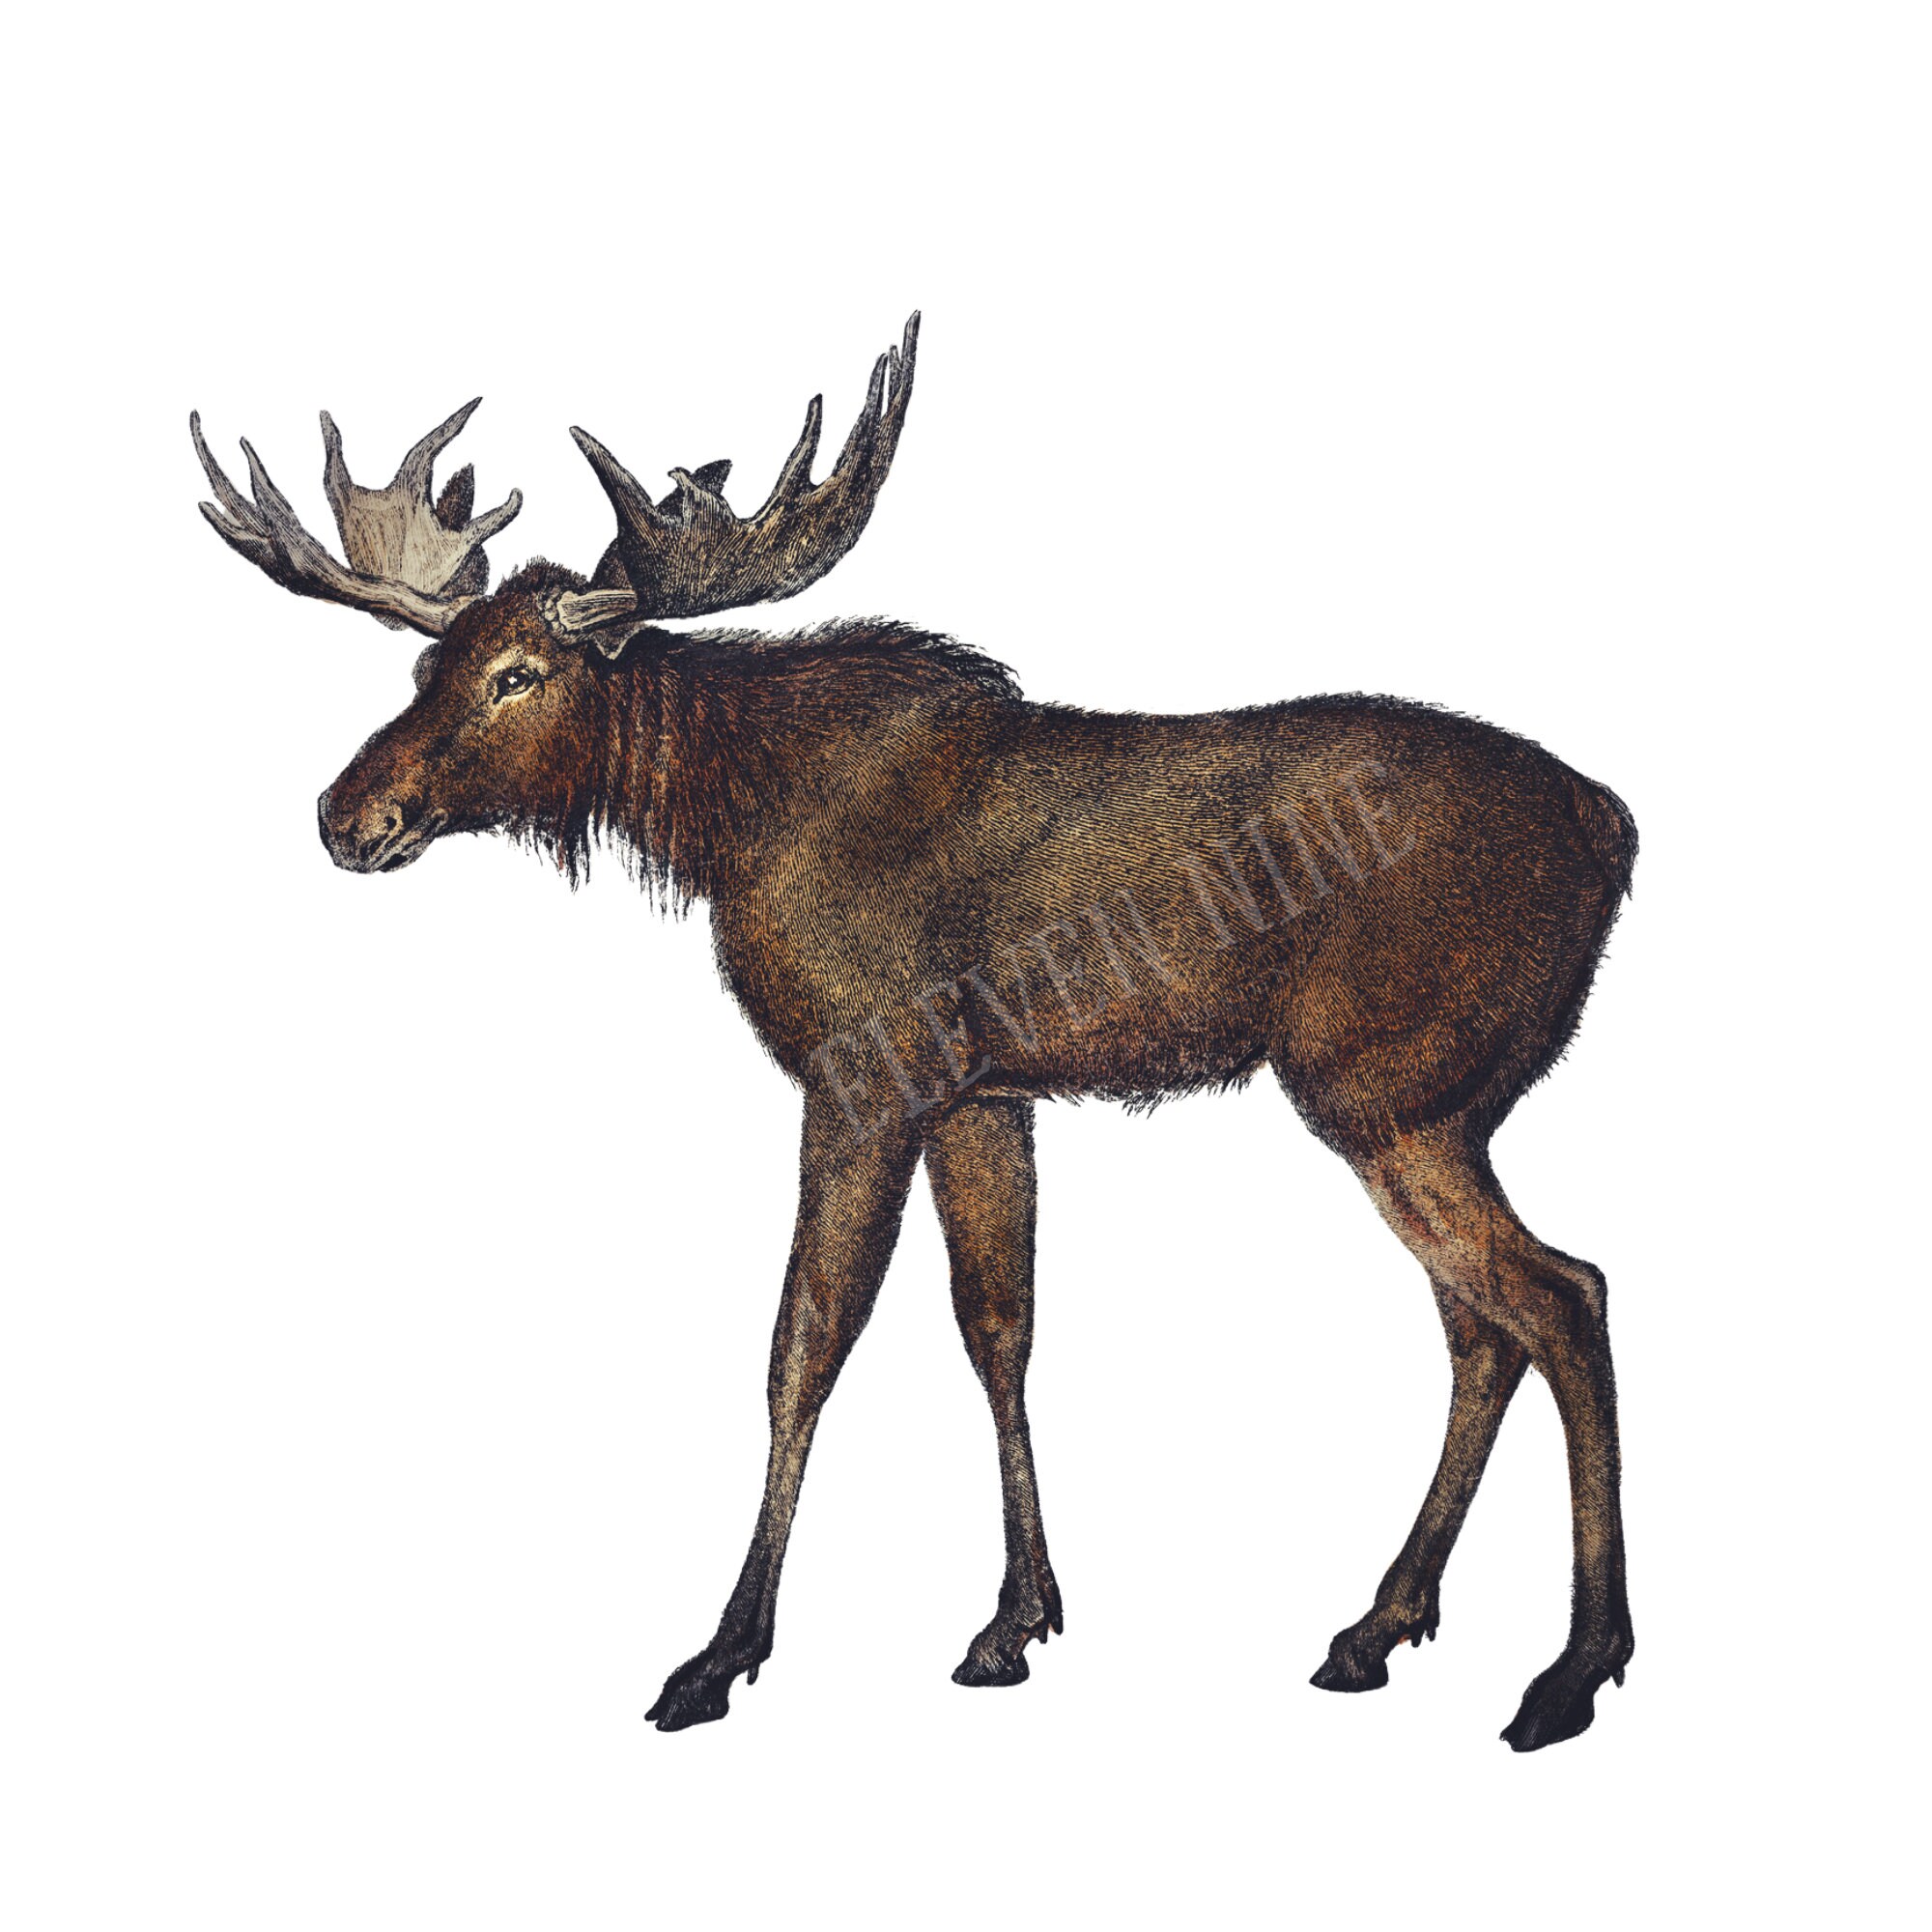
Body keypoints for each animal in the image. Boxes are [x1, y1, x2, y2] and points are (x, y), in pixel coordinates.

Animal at [191, 315, 1638, 1751]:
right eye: (424, 665)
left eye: (518, 674)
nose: (345, 813)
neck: (730, 825)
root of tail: (1612, 827)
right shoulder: (984, 1093)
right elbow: (999, 1325)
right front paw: (1014, 1620)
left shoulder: (863, 1072)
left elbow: (802, 1344)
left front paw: (722, 1652)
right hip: (1428, 1103)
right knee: (1481, 1327)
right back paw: (1376, 1625)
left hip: (1382, 1085)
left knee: (1561, 1294)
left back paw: (1571, 1667)